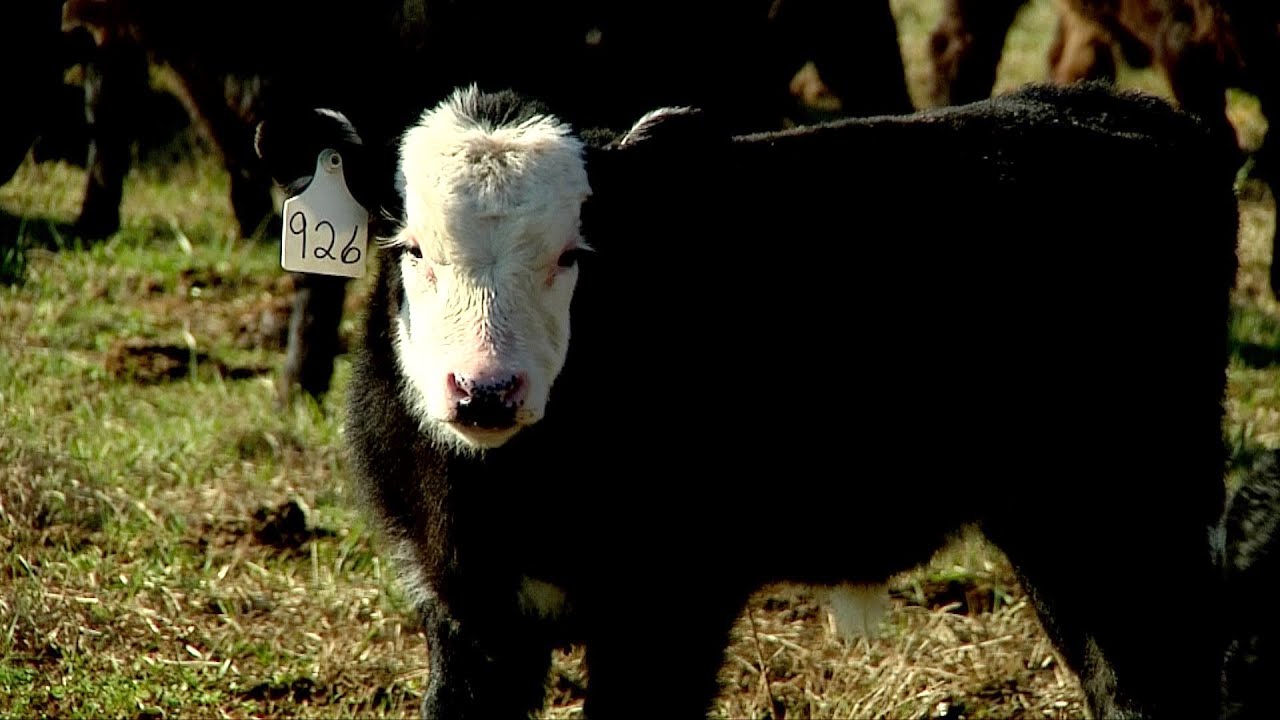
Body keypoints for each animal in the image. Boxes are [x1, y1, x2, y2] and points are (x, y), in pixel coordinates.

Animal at [250, 81, 1242, 718]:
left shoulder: (671, 606)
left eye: (575, 253)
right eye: (410, 248)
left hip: (1132, 509)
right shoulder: (466, 614)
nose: (486, 390)